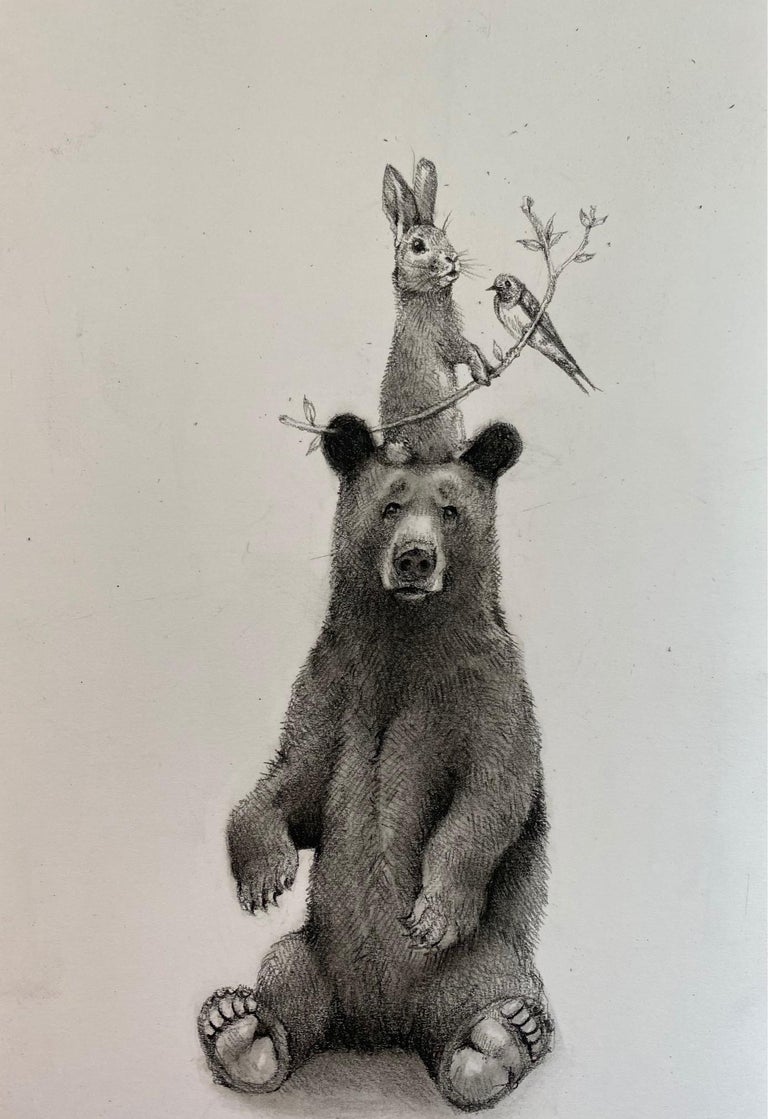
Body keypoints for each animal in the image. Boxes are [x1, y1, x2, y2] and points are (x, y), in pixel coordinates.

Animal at [198, 414, 553, 1112]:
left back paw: (498, 1043)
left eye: (450, 510)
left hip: (481, 960)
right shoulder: (334, 683)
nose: (415, 558)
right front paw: (265, 875)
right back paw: (241, 1031)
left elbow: (492, 791)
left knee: (486, 992)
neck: (406, 635)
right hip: (317, 952)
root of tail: (381, 1025)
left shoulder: (486, 689)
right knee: (287, 979)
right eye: (390, 506)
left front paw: (434, 912)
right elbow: (294, 782)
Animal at [379, 158, 494, 461]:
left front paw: (489, 368)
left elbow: (475, 346)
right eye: (418, 246)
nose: (452, 258)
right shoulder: (444, 340)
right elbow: (466, 351)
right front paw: (481, 374)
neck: (428, 296)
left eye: (446, 237)